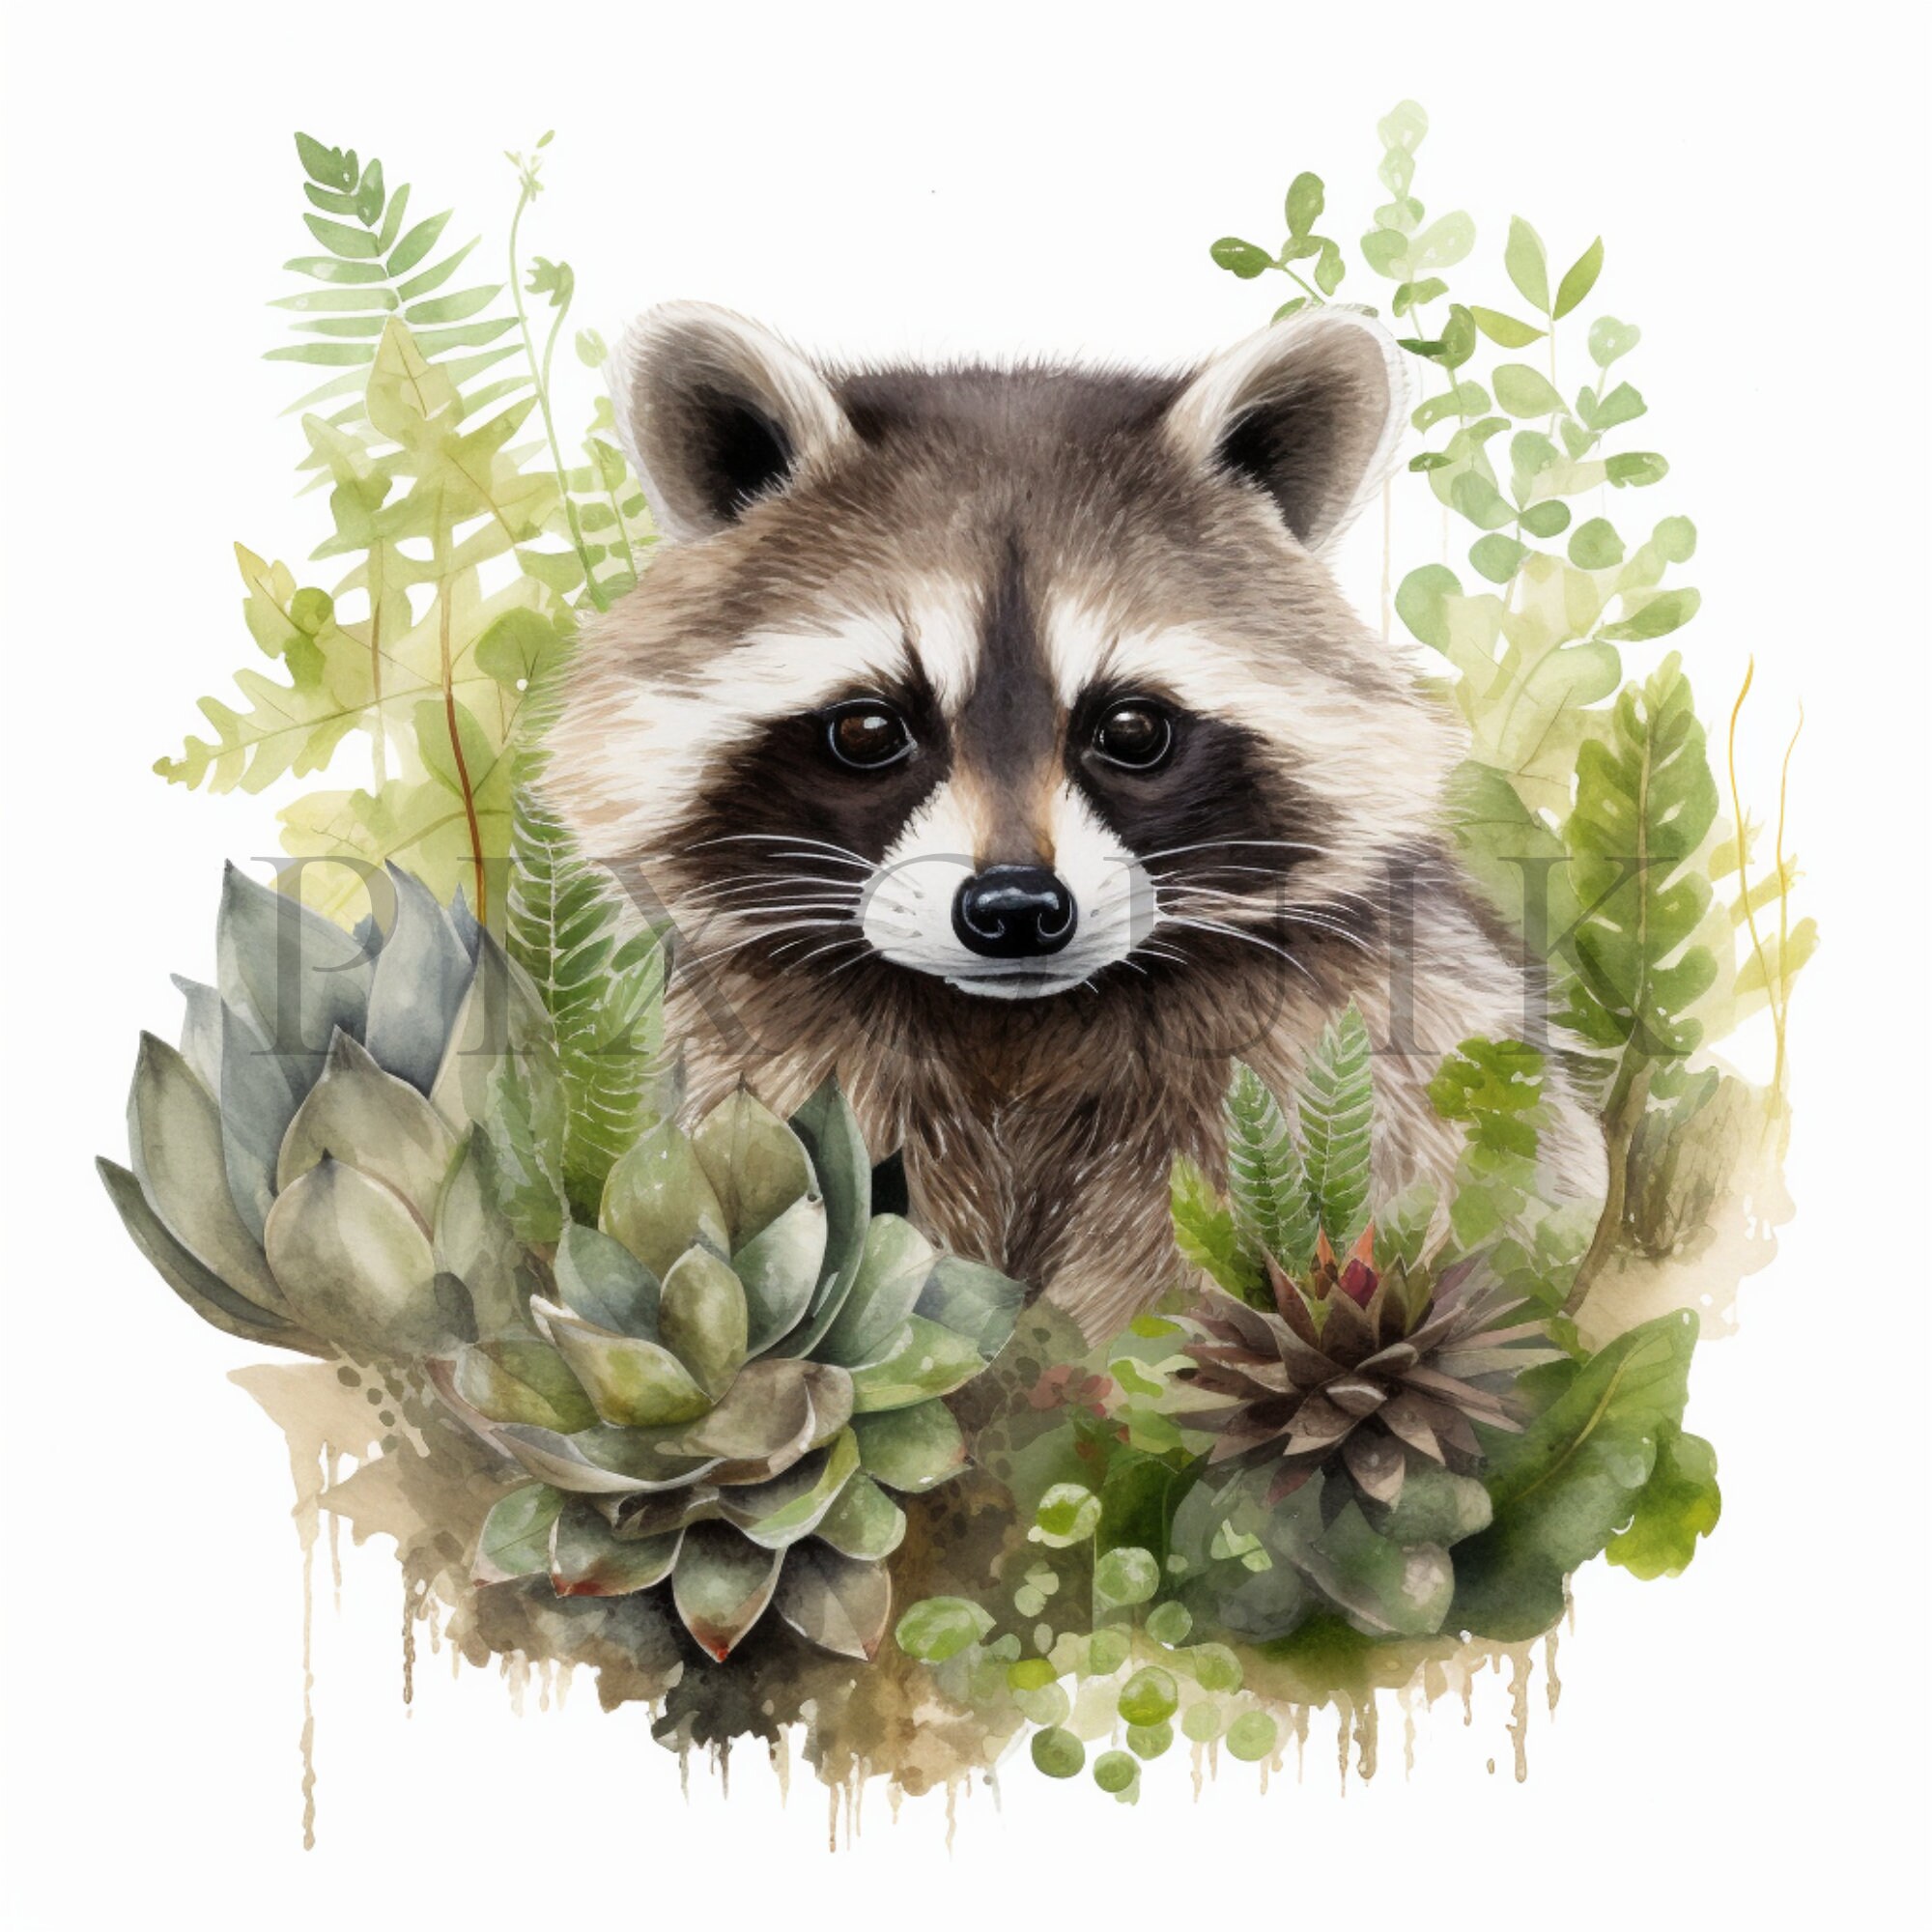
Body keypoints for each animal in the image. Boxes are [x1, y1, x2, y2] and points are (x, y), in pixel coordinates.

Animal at [544, 301, 1606, 1341]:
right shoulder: (778, 1067)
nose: (1015, 908)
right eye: (867, 729)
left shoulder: (1328, 1056)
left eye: (1131, 728)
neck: (1015, 1029)